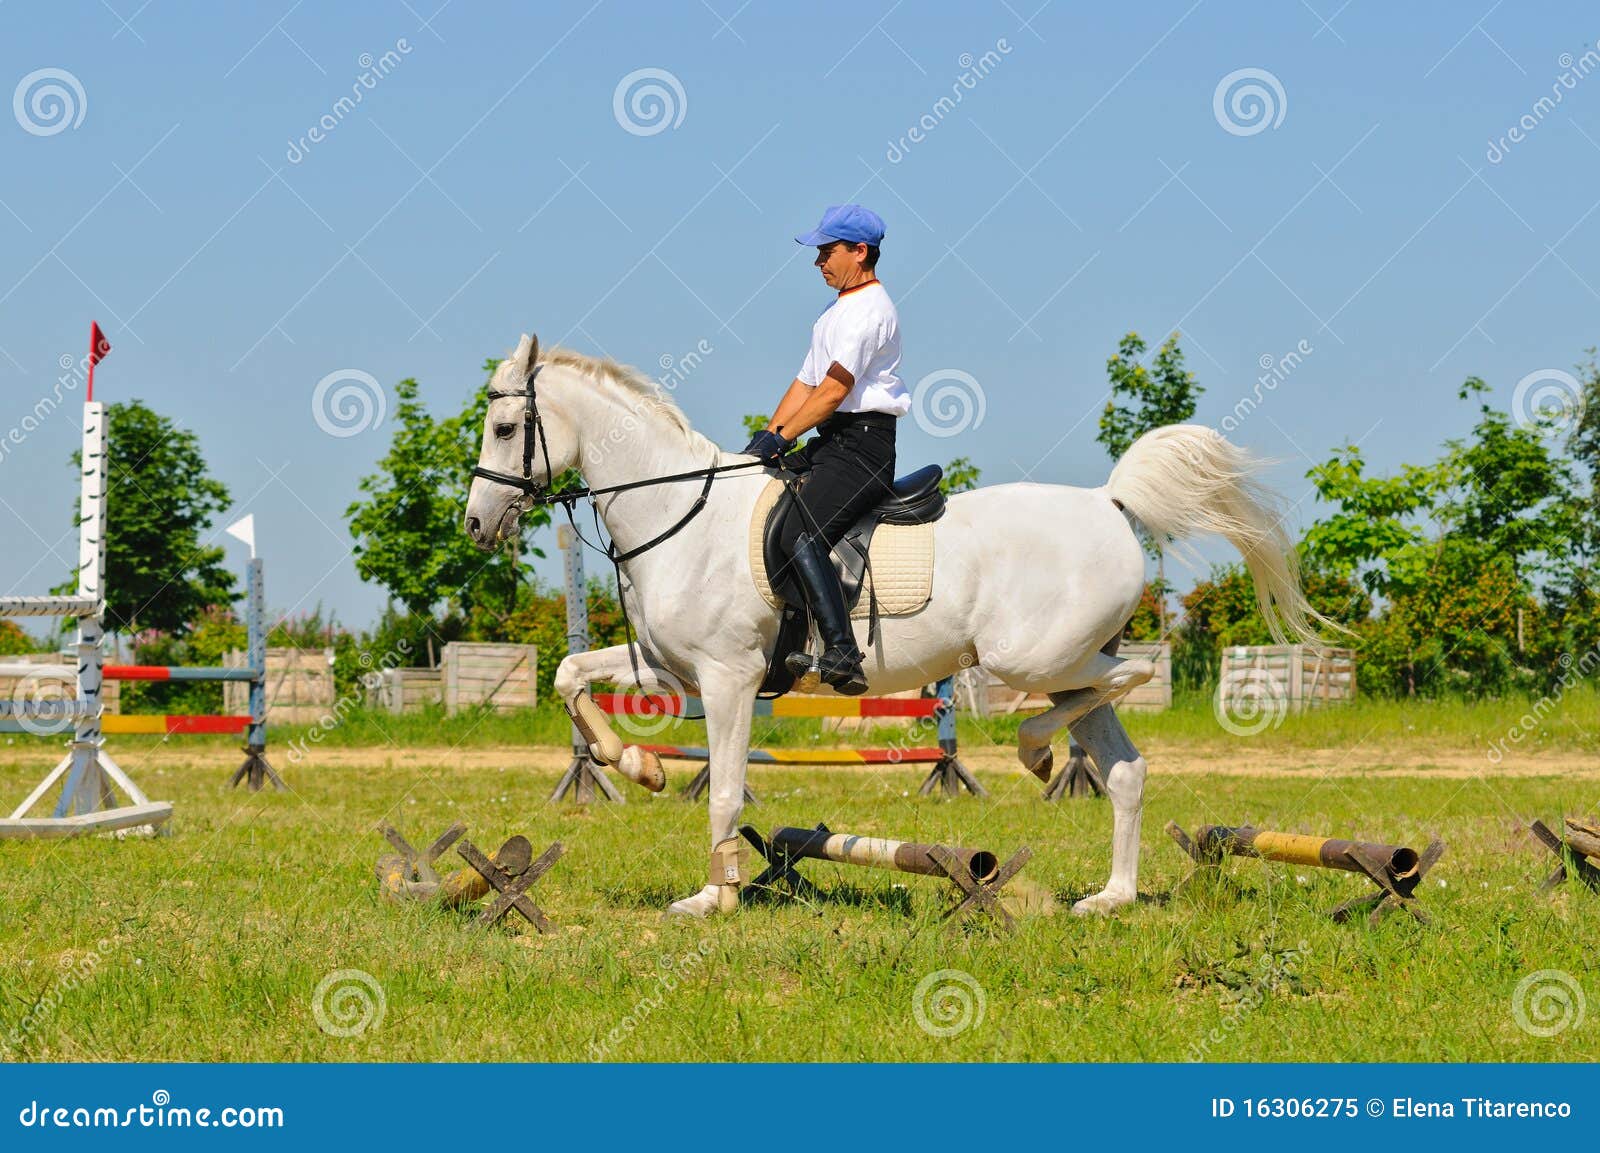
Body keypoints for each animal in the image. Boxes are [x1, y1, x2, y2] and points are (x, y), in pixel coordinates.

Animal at [464, 333, 1331, 918]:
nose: (476, 524)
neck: (679, 509)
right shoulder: (663, 663)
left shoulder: (728, 678)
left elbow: (728, 790)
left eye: (506, 430)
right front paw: (637, 765)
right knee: (1123, 767)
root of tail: (1109, 502)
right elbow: (571, 676)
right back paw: (1110, 896)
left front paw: (714, 899)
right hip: (1065, 668)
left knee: (1129, 674)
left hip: (1036, 658)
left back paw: (1035, 749)